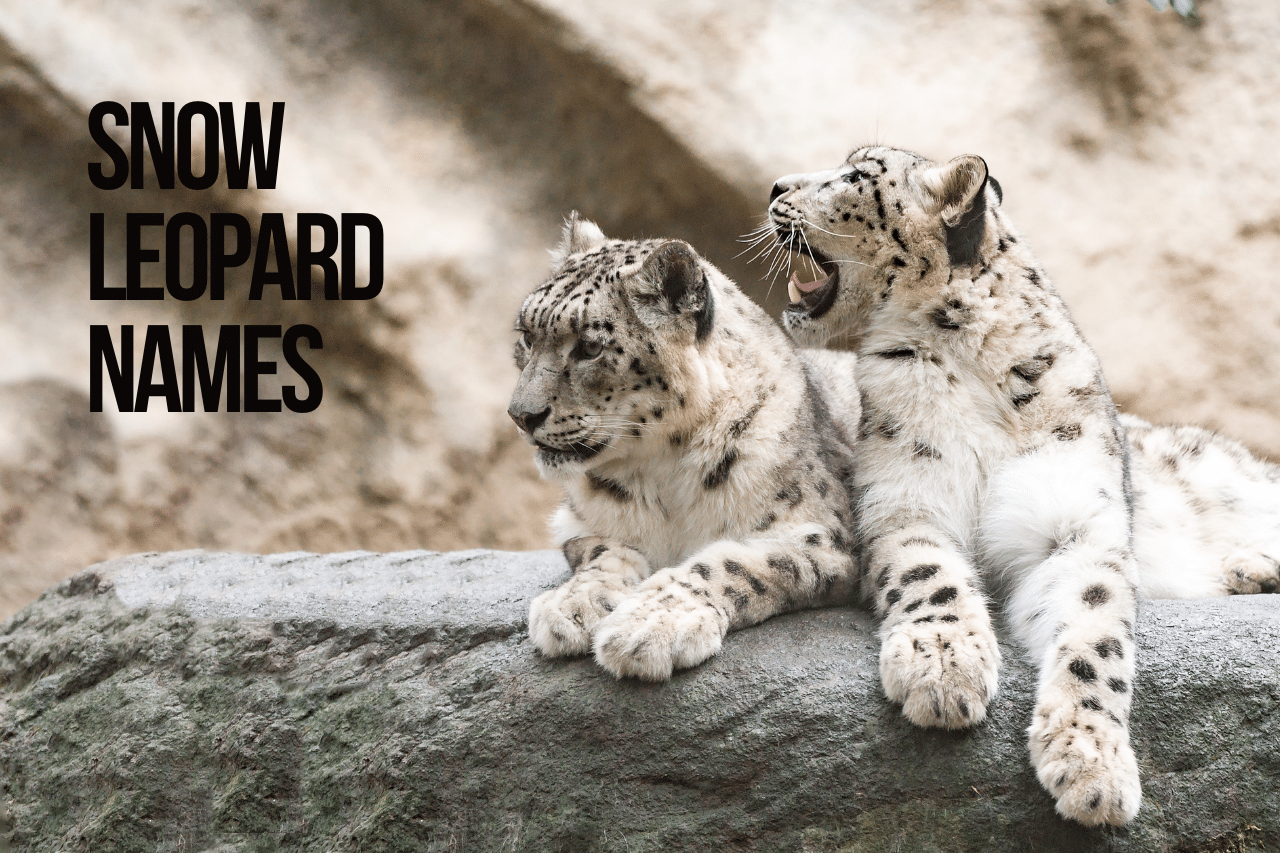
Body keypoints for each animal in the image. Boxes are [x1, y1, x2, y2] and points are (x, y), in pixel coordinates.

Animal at [511, 214, 862, 683]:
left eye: (590, 346)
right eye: (526, 337)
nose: (520, 414)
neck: (662, 474)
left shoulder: (822, 534)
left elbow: (734, 564)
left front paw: (650, 626)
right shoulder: (581, 523)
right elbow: (603, 551)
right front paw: (572, 605)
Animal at [767, 144, 1280, 826]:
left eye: (855, 173)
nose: (774, 186)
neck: (966, 358)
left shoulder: (1077, 524)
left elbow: (1095, 633)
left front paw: (1092, 766)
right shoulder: (903, 502)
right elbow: (927, 573)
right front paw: (943, 666)